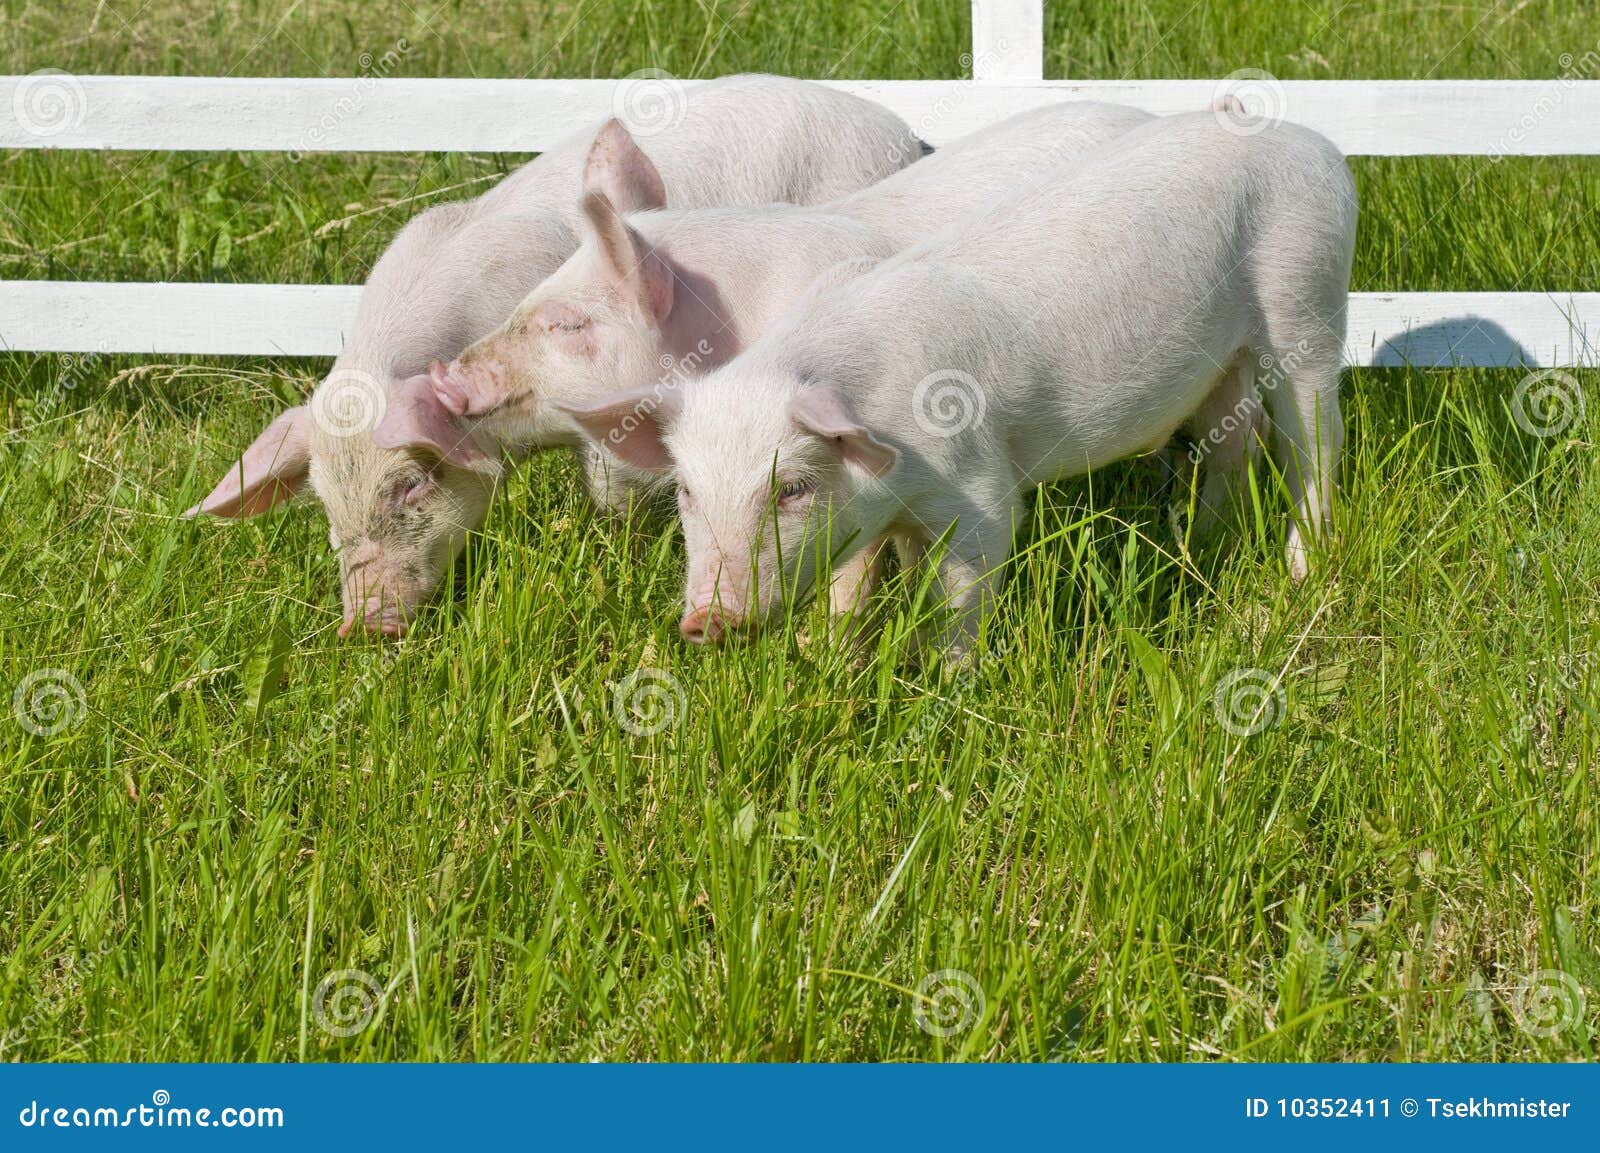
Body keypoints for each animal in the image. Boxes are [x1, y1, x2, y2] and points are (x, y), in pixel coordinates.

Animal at [563, 112, 1358, 654]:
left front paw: (947, 688)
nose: (705, 619)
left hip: (1306, 297)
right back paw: (1199, 540)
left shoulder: (978, 489)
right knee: (1236, 439)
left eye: (791, 487)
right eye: (686, 492)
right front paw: (837, 658)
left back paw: (1298, 573)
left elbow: (964, 594)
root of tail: (1312, 143)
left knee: (1314, 441)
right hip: (1222, 357)